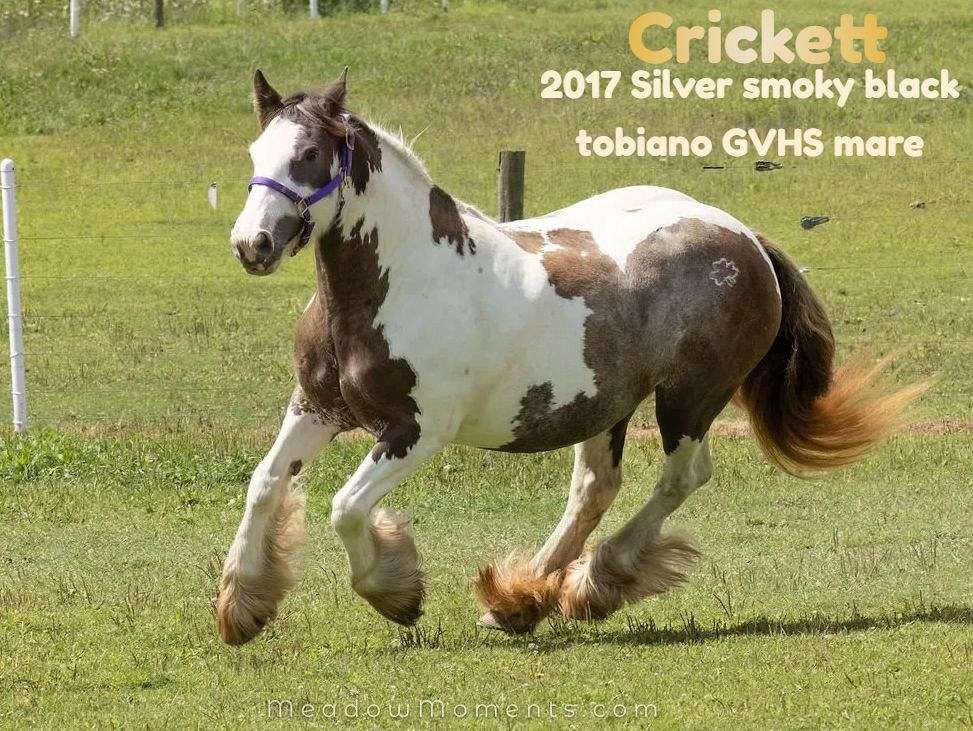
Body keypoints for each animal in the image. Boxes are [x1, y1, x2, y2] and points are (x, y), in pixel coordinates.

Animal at [215, 69, 921, 644]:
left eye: (309, 154)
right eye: (253, 153)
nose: (252, 245)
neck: (404, 280)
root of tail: (743, 236)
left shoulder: (415, 432)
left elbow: (347, 508)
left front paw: (397, 594)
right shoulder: (316, 407)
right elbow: (264, 483)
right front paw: (243, 607)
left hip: (689, 398)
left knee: (680, 479)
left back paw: (591, 584)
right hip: (605, 405)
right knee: (594, 488)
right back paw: (519, 600)